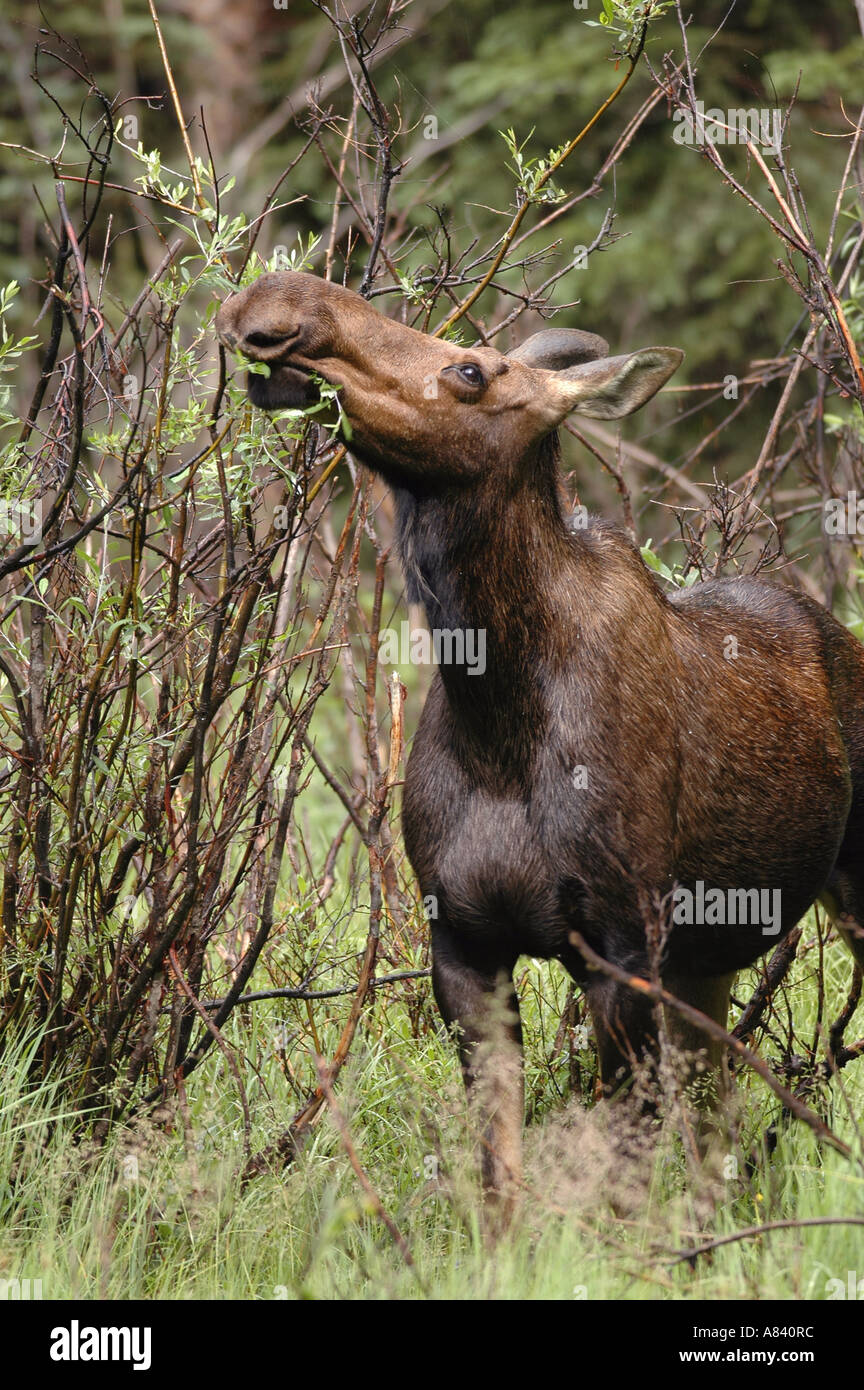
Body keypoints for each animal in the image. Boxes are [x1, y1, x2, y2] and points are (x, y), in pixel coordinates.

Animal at [215, 270, 864, 1223]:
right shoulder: (464, 944)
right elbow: (500, 1179)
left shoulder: (621, 949)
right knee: (717, 1124)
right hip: (706, 967)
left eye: (470, 370)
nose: (274, 302)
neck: (498, 716)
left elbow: (620, 1178)